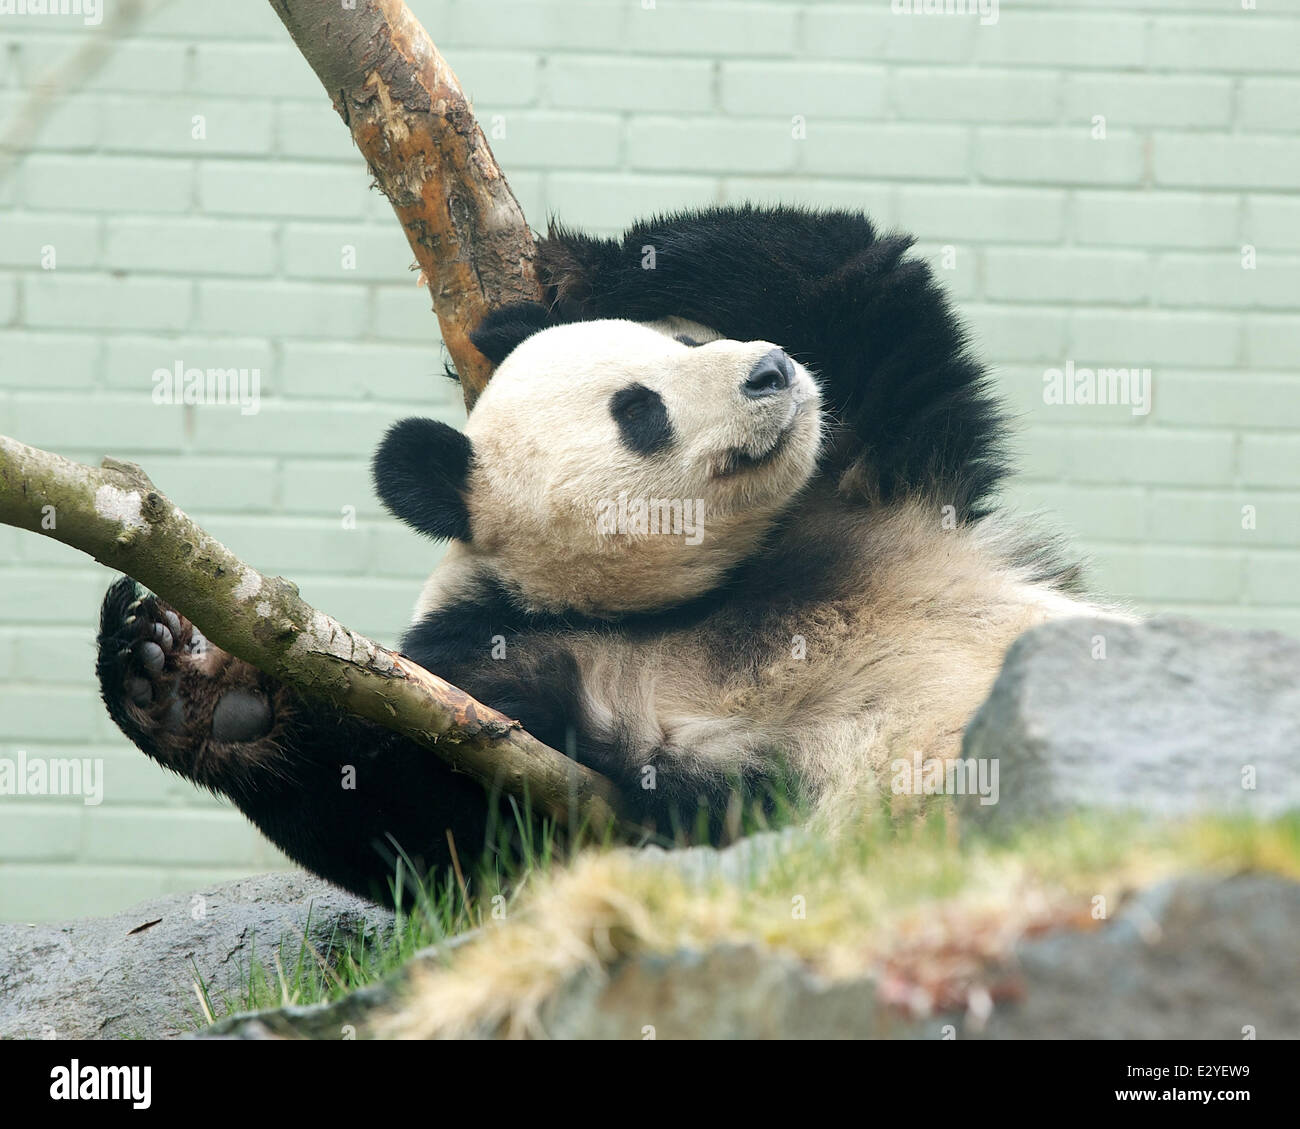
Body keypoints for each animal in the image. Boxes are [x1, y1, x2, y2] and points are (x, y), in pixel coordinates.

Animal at [95, 204, 1116, 902]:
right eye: (639, 409)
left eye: (687, 339)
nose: (773, 372)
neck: (692, 596)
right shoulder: (484, 669)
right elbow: (440, 837)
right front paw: (189, 687)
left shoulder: (877, 483)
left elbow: (868, 285)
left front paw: (564, 277)